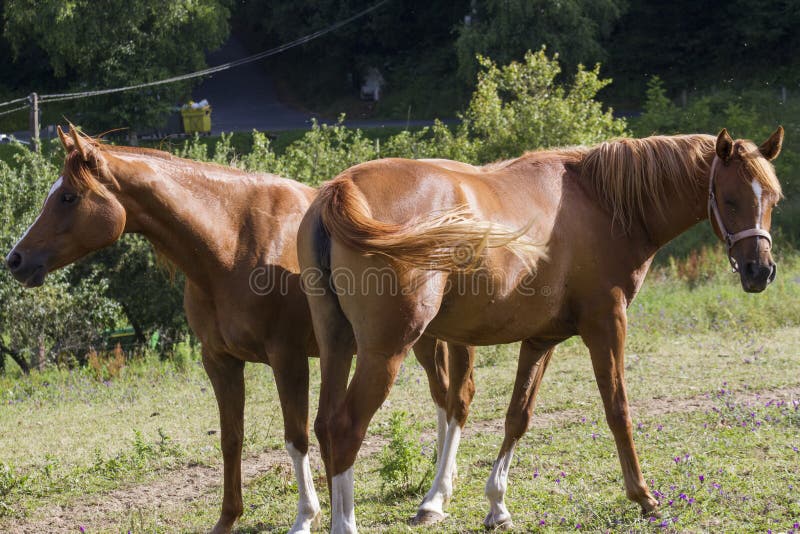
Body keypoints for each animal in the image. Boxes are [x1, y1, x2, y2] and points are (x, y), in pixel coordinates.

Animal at [4, 127, 476, 533]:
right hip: (419, 340)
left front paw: (306, 516)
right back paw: (440, 489)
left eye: (68, 196)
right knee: (443, 399)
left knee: (455, 399)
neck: (232, 244)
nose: (15, 260)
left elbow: (296, 436)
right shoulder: (220, 361)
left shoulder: (288, 359)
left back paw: (436, 495)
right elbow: (232, 439)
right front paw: (228, 518)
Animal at [297, 127, 784, 532]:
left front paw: (497, 504)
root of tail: (342, 188)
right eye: (730, 198)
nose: (760, 271)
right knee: (347, 428)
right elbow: (617, 408)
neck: (600, 201)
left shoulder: (541, 339)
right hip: (387, 352)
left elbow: (518, 416)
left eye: (771, 200)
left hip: (340, 346)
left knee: (325, 425)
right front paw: (643, 495)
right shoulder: (607, 324)